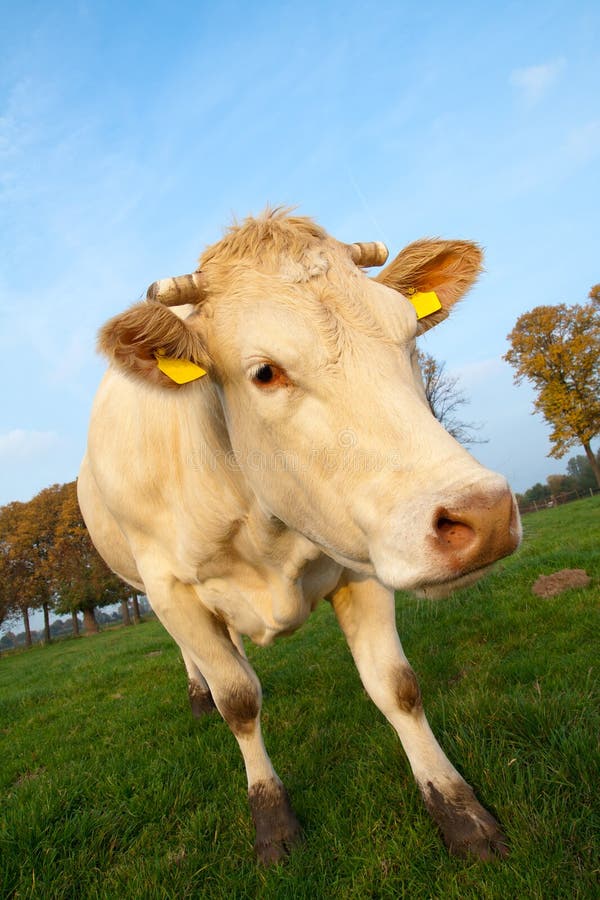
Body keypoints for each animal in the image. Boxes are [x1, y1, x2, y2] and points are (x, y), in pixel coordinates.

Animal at [78, 209, 521, 865]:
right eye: (265, 371)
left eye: (410, 337)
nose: (484, 514)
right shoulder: (169, 586)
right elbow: (239, 700)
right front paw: (273, 820)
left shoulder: (362, 562)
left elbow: (397, 687)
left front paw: (458, 810)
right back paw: (199, 693)